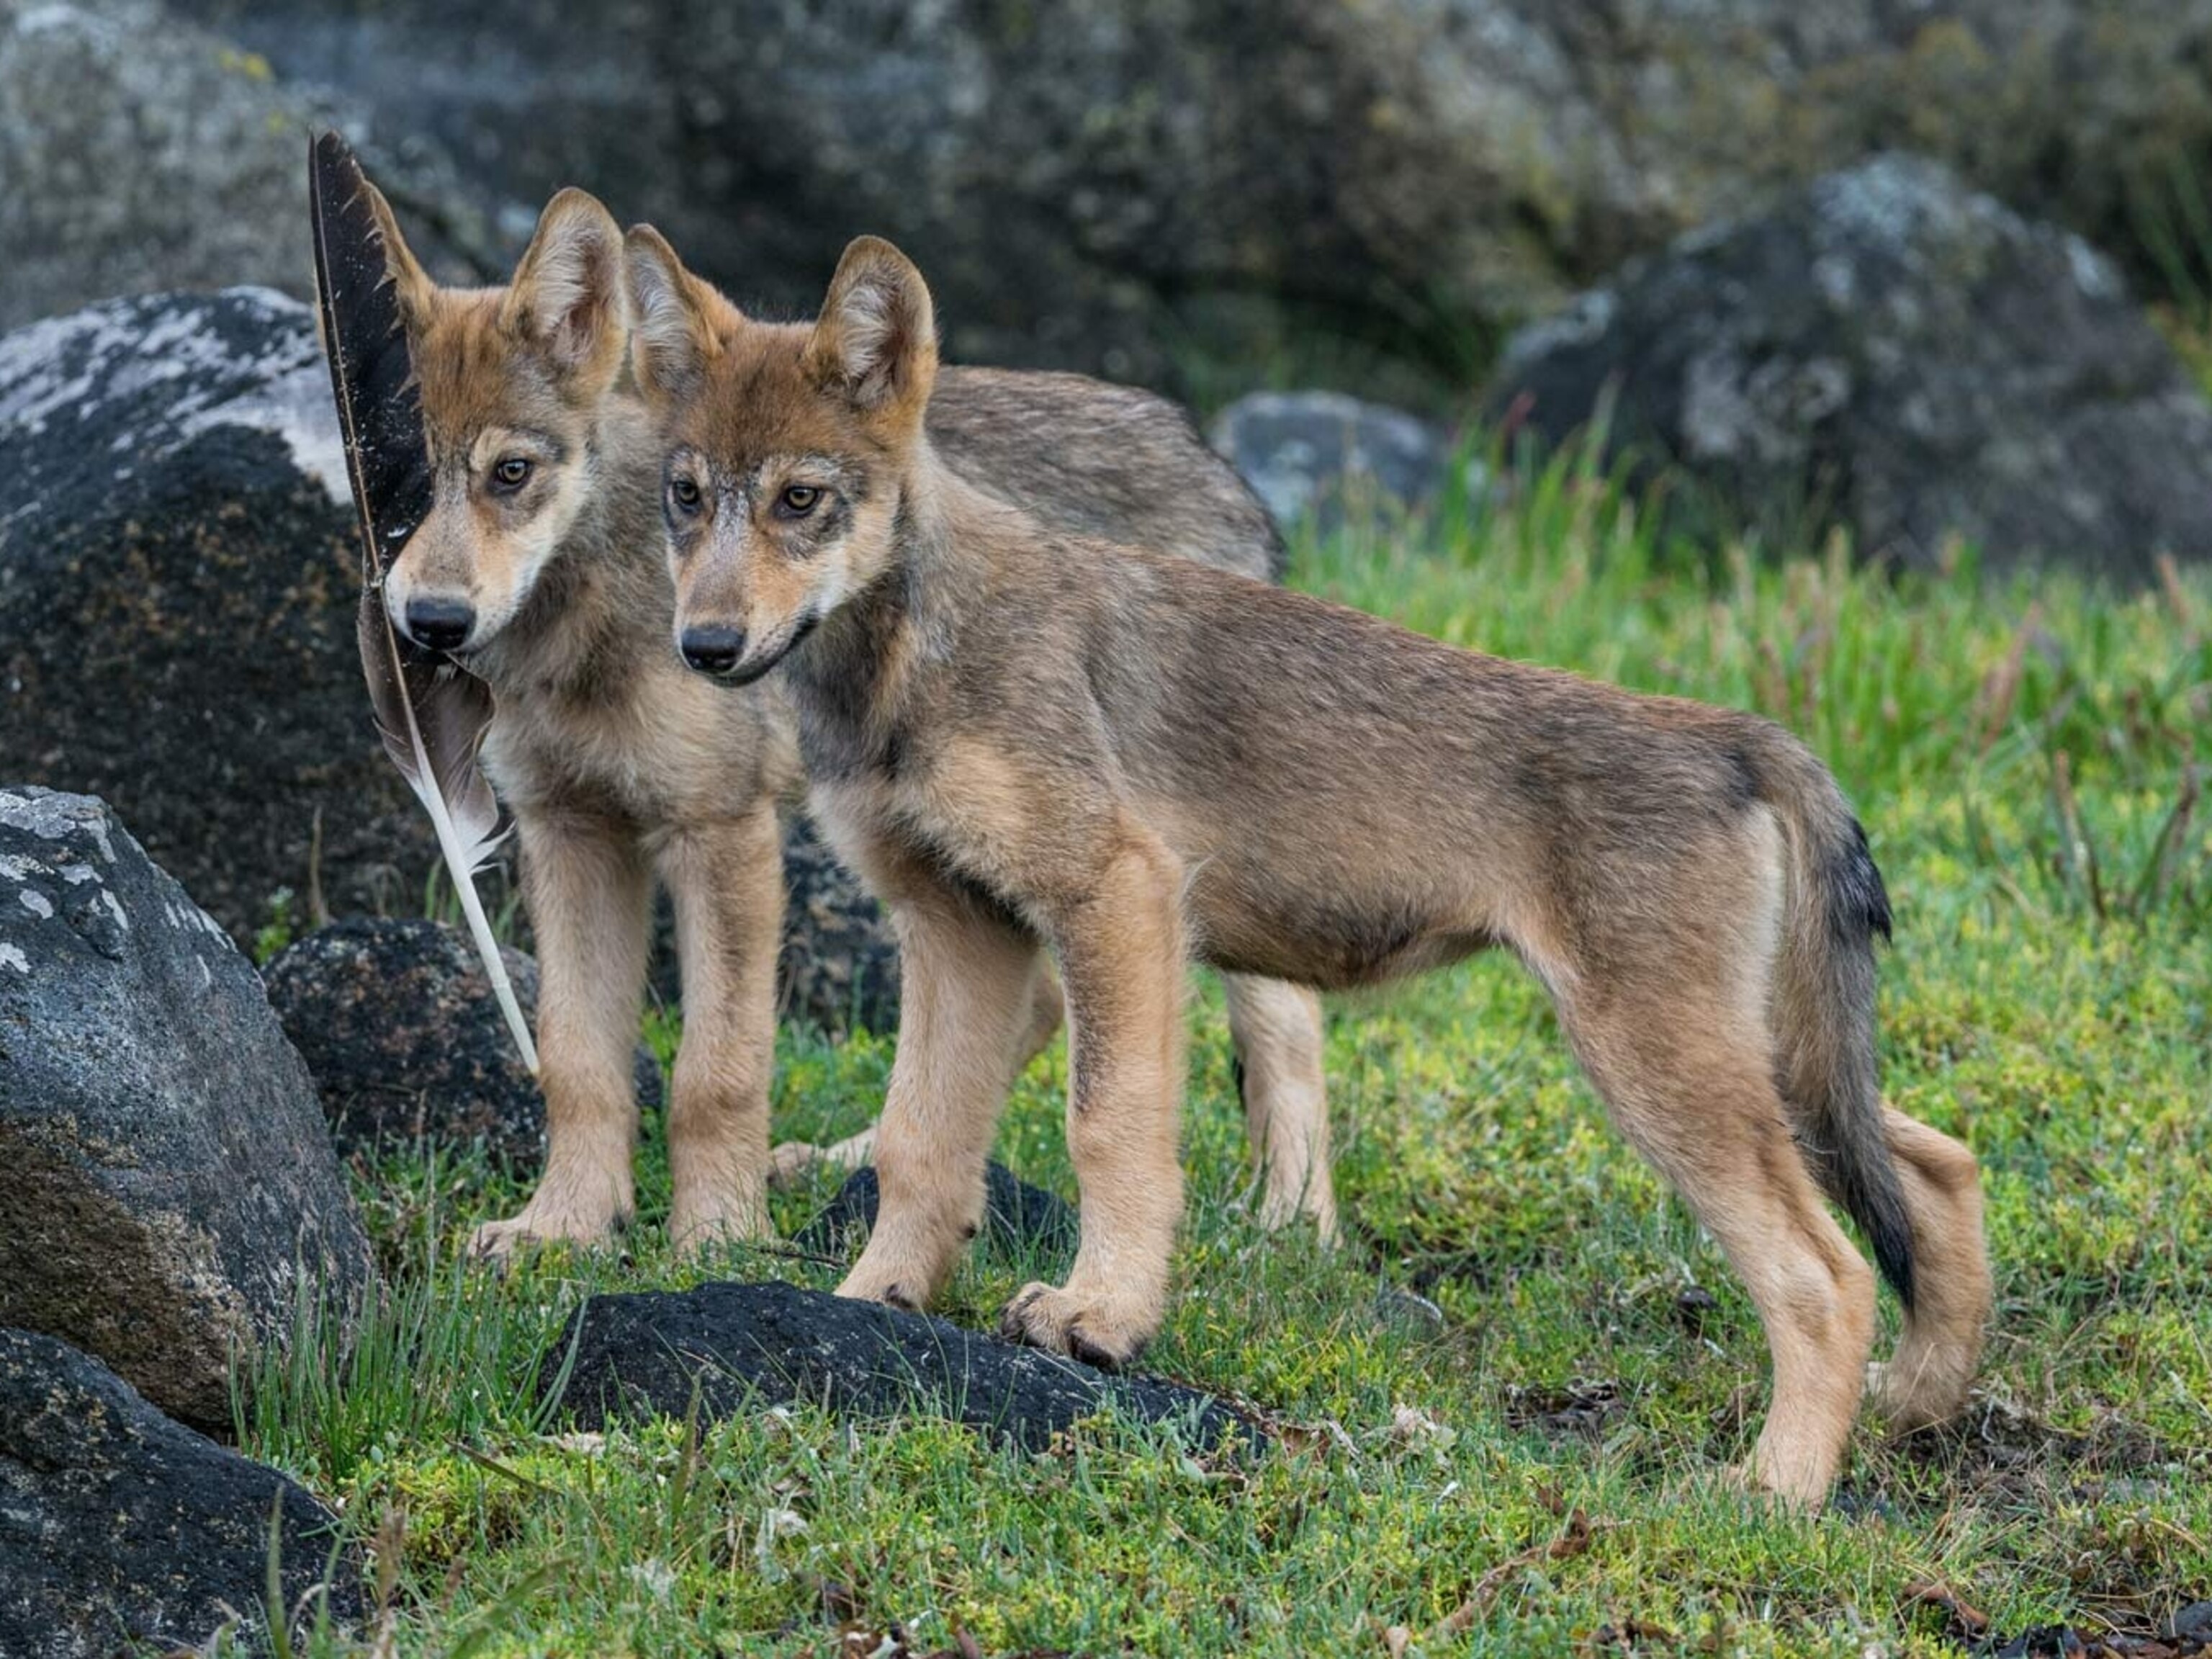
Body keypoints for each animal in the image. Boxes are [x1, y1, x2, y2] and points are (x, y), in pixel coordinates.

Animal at [352, 181, 1336, 1256]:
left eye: (512, 473)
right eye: (392, 485)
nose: (431, 622)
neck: (586, 628)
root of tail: (1221, 470)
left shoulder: (721, 834)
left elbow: (715, 1076)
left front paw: (716, 1238)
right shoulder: (568, 832)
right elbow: (576, 1064)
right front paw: (563, 1228)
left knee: (1287, 1029)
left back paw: (1294, 1222)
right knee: (1026, 1010)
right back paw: (845, 1163)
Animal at [621, 228, 1992, 1506]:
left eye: (800, 499)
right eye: (685, 497)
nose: (704, 645)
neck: (914, 655)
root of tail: (1741, 738)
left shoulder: (1116, 900)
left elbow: (1106, 1130)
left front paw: (1100, 1317)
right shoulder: (958, 929)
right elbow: (918, 1144)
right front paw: (874, 1299)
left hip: (1662, 1069)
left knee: (1825, 1270)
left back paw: (1776, 1493)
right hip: (1774, 1069)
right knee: (1936, 1167)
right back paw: (1918, 1401)